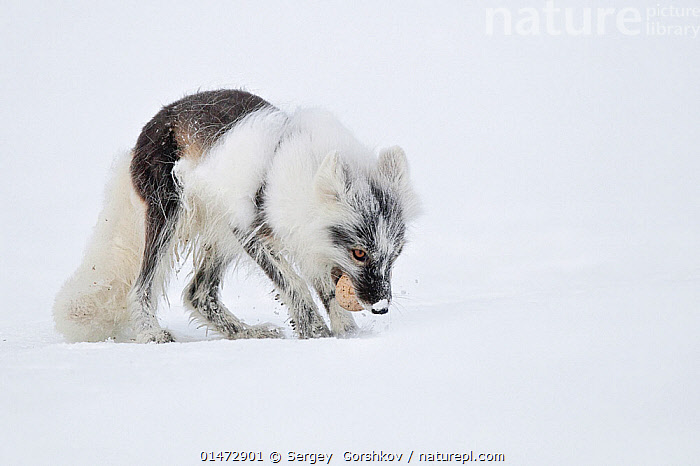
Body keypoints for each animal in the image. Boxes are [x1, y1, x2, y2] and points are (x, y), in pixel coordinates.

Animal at [53, 89, 420, 343]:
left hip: (220, 236)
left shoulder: (309, 246)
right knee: (141, 288)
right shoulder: (250, 231)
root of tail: (153, 125)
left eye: (395, 255)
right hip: (170, 215)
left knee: (197, 294)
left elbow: (326, 291)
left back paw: (248, 333)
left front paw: (346, 333)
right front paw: (315, 333)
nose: (381, 307)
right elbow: (296, 284)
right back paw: (152, 334)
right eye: (359, 253)